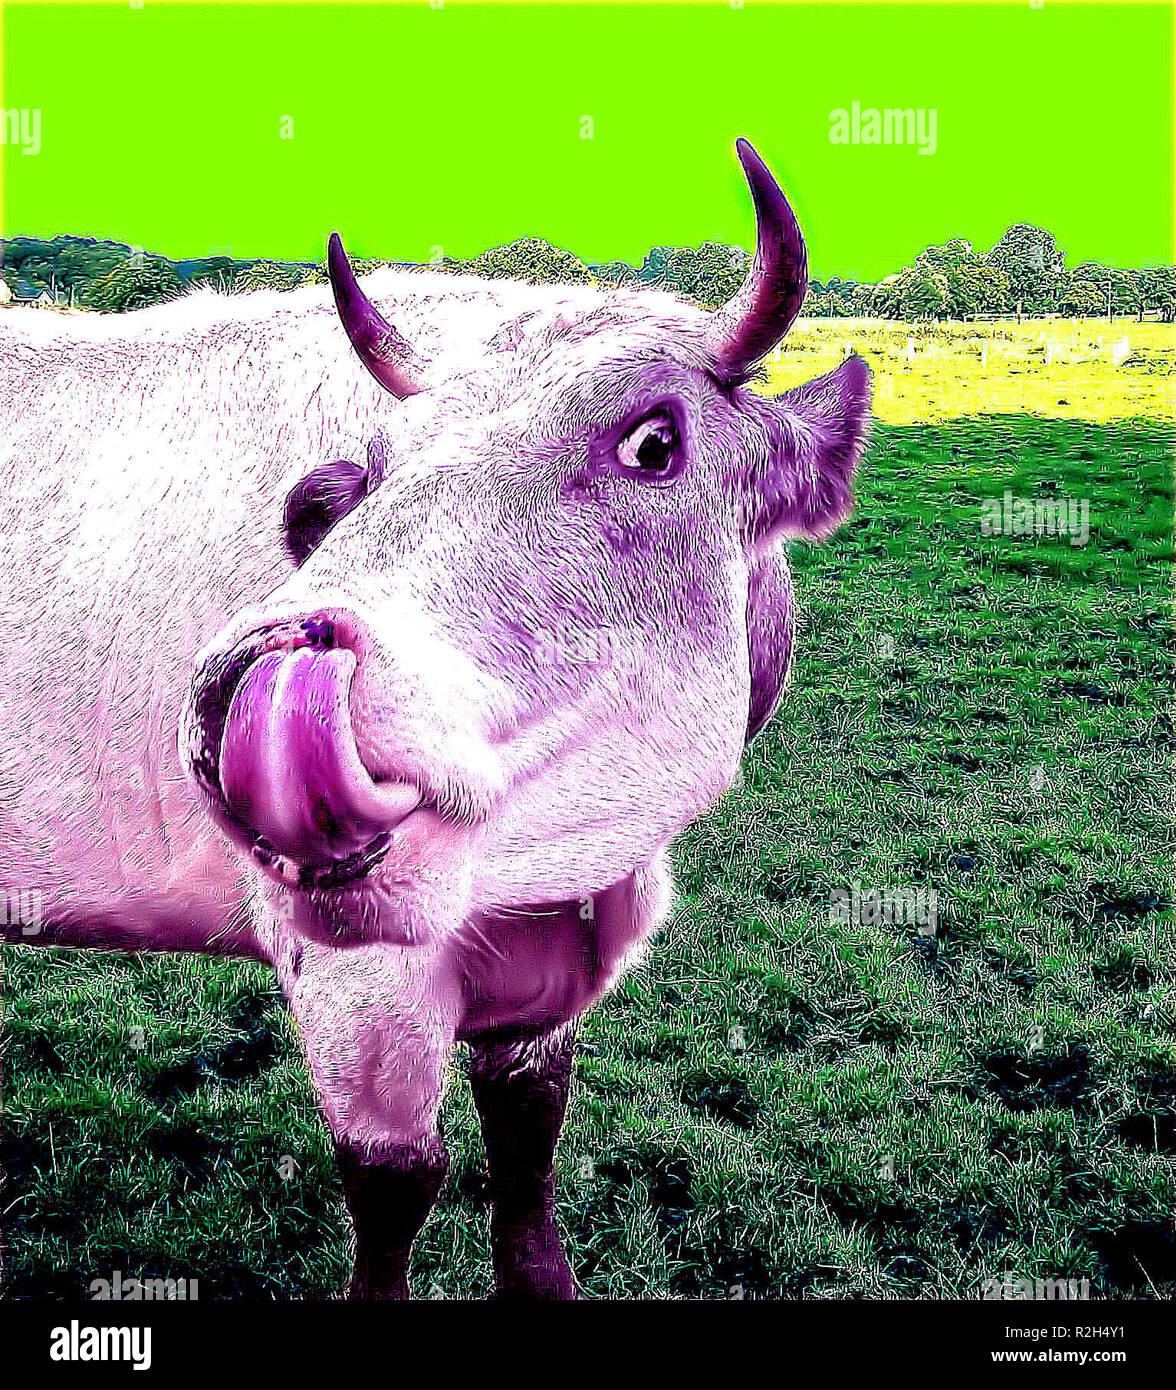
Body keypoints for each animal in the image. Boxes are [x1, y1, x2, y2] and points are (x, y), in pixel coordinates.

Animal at [0, 140, 870, 1299]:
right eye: (369, 473)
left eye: (655, 442)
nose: (250, 676)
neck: (563, 887)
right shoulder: (349, 972)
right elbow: (397, 1181)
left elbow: (530, 1144)